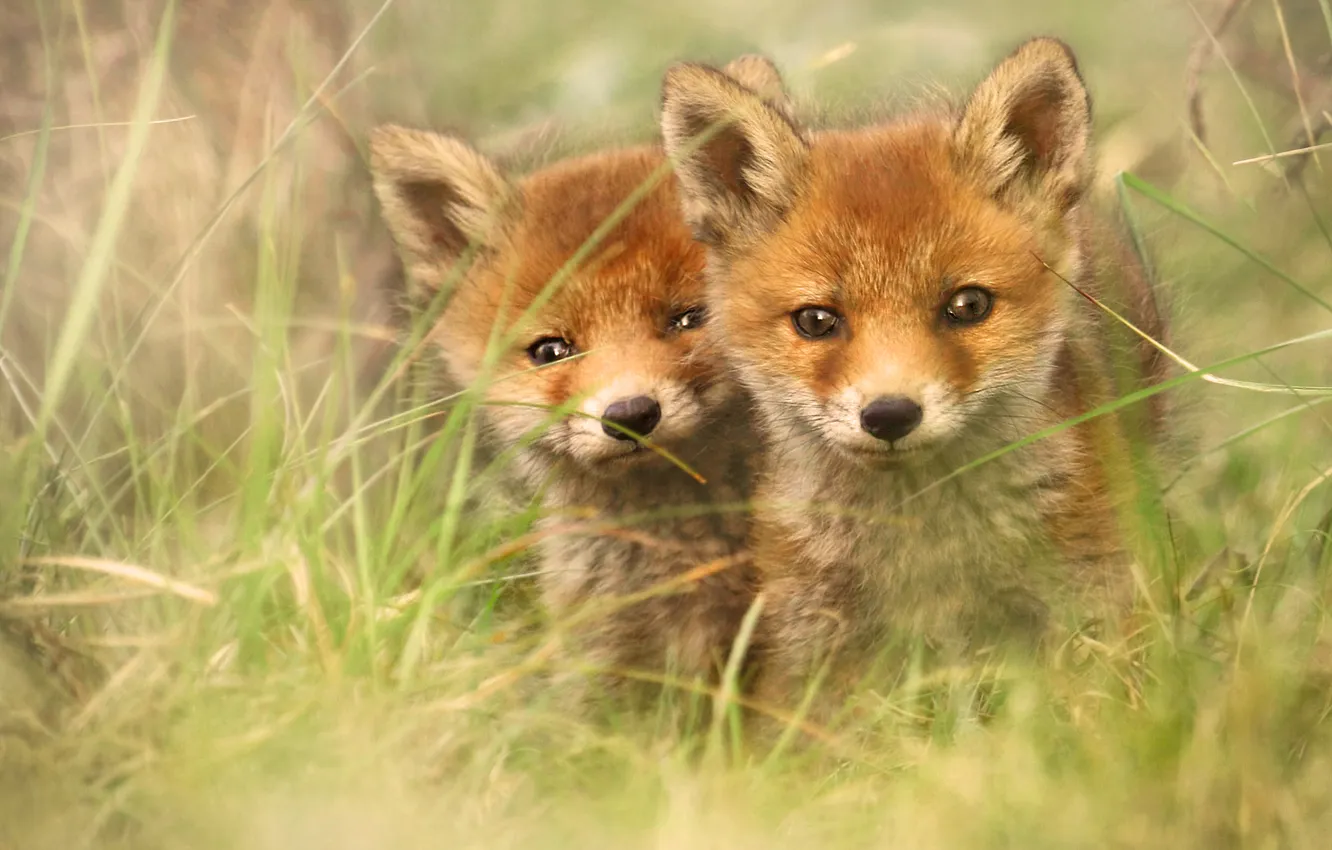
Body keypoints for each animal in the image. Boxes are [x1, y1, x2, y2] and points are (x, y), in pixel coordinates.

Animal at [658, 38, 1171, 724]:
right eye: (816, 320)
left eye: (968, 305)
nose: (890, 415)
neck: (927, 539)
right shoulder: (806, 644)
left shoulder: (1098, 591)